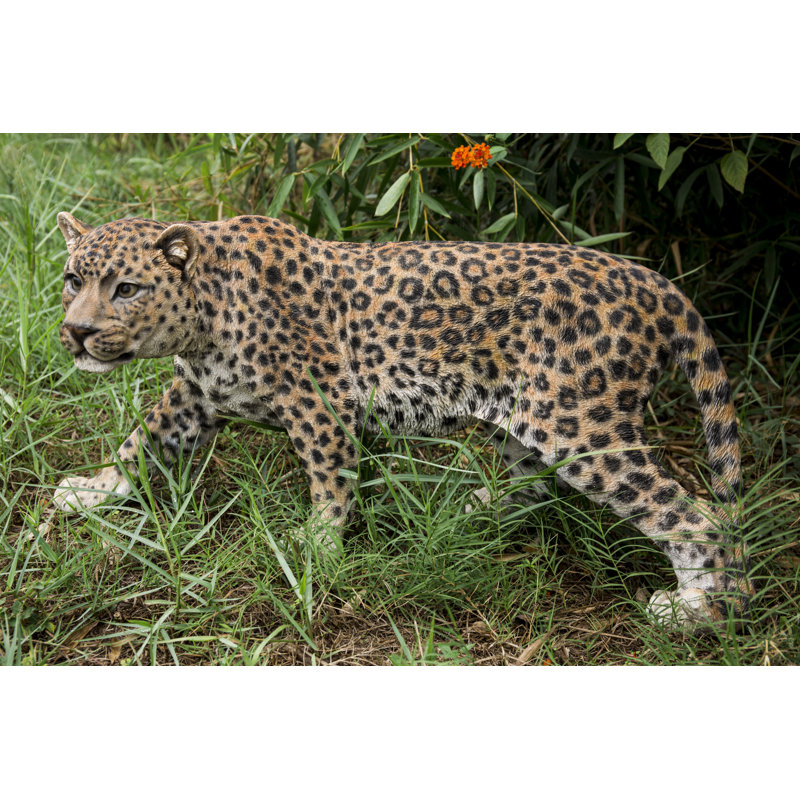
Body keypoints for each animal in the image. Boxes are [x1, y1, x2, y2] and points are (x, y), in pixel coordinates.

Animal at [53, 211, 752, 629]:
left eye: (126, 290)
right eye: (70, 280)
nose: (77, 333)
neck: (202, 321)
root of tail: (654, 281)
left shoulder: (321, 402)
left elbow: (330, 479)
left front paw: (317, 548)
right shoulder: (191, 397)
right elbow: (137, 444)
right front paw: (92, 493)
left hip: (579, 423)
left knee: (697, 514)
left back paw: (697, 611)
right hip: (531, 422)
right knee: (527, 488)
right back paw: (454, 522)